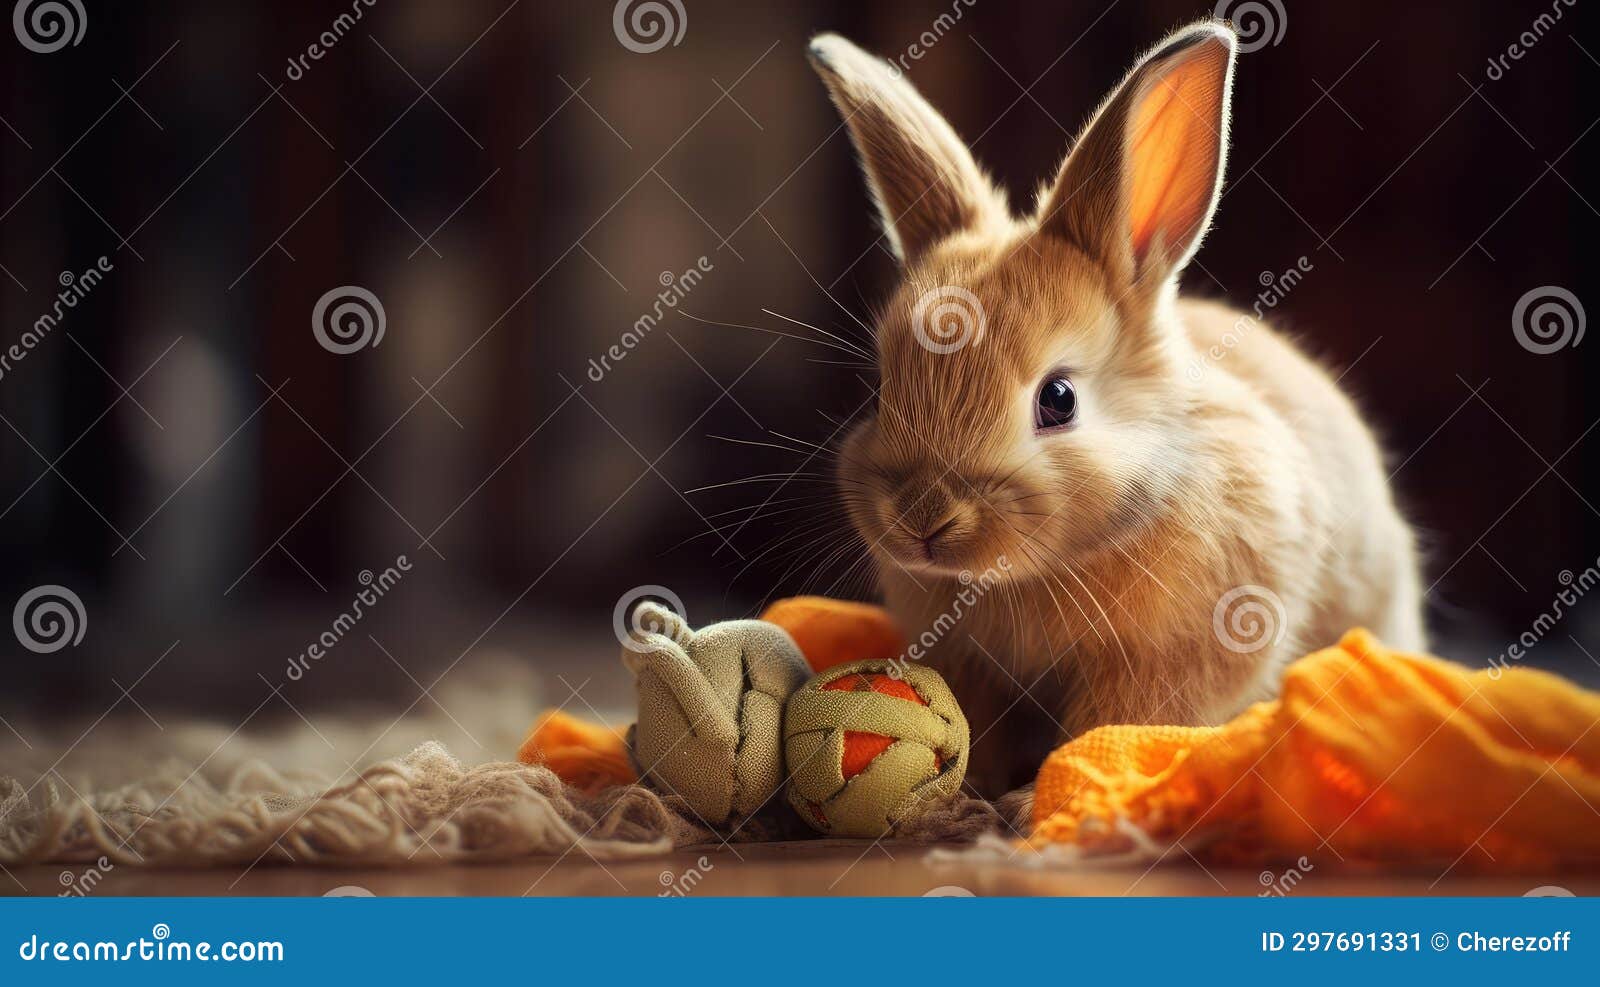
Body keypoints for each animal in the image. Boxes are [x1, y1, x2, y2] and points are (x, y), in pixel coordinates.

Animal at [807, 20, 1425, 805]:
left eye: (1058, 399)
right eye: (881, 392)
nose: (923, 518)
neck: (1036, 572)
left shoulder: (1172, 656)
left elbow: (1109, 723)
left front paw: (1035, 799)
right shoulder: (968, 663)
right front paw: (972, 792)